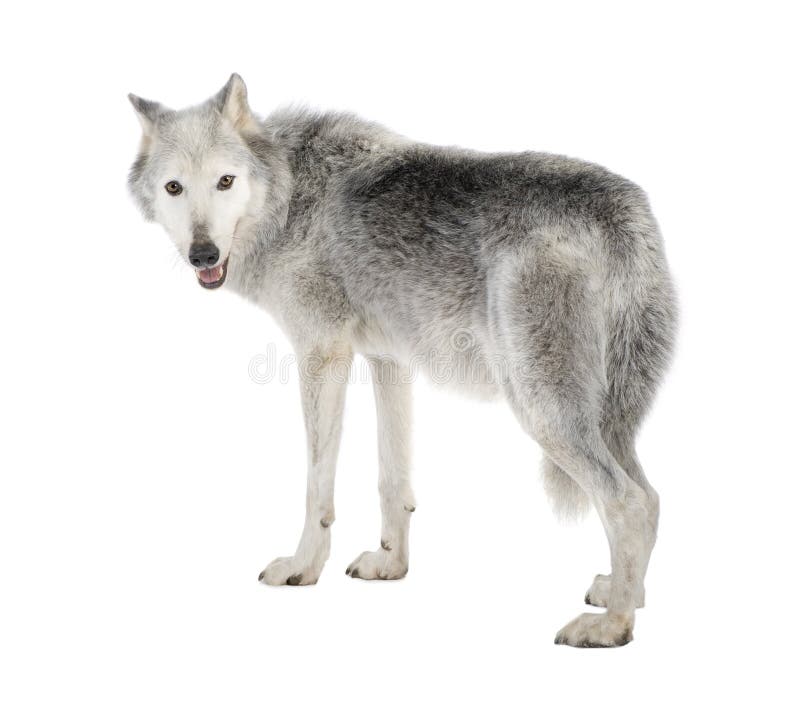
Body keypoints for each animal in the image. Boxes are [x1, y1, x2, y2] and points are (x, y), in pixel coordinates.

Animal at [128, 74, 676, 647]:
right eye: (174, 188)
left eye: (225, 181)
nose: (203, 254)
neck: (291, 195)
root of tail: (624, 210)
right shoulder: (388, 359)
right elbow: (393, 481)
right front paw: (390, 565)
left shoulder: (321, 354)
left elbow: (317, 486)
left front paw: (303, 568)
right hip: (604, 417)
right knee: (652, 496)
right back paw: (622, 593)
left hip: (542, 410)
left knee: (629, 502)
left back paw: (612, 626)